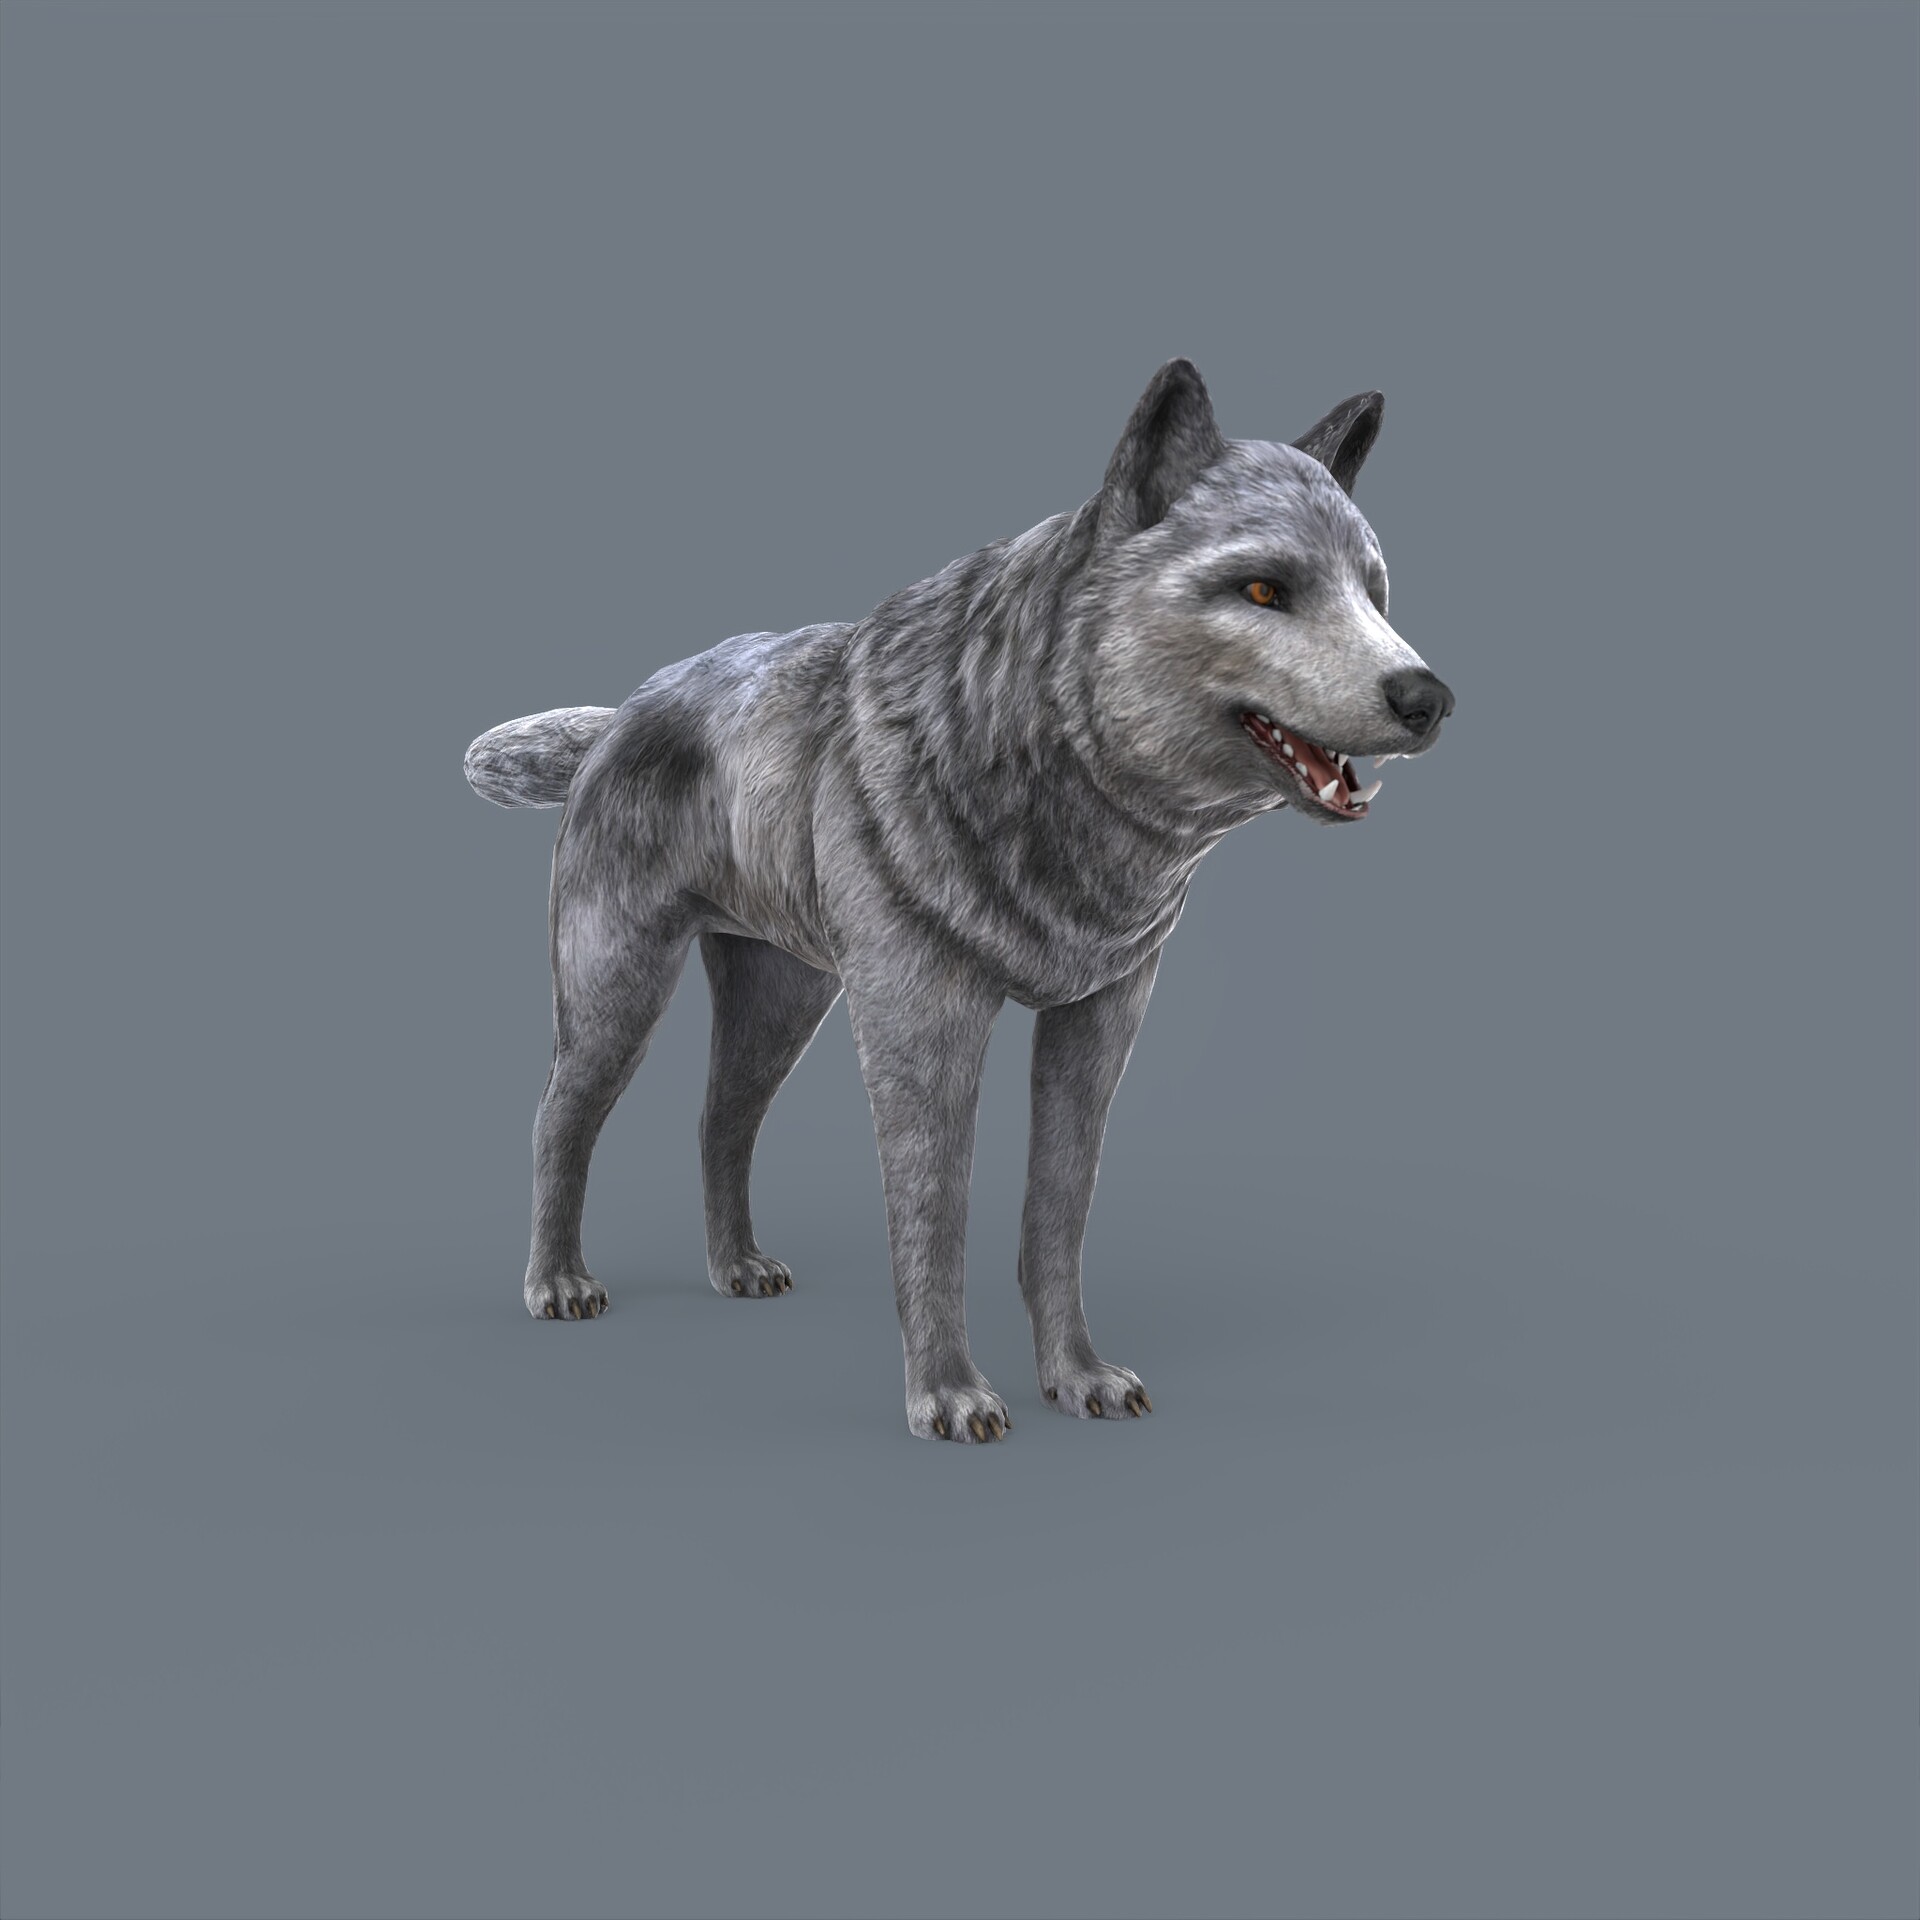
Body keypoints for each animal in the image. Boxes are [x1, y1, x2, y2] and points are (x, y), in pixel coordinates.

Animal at [464, 360, 1453, 1442]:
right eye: (1266, 589)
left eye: (1374, 595)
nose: (1428, 697)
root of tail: (619, 715)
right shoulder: (924, 1022)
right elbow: (935, 1214)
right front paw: (949, 1396)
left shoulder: (1100, 1018)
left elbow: (1057, 1211)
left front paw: (1079, 1378)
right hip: (620, 994)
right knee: (560, 1118)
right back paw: (558, 1283)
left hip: (783, 1006)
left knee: (721, 1120)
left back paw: (737, 1269)